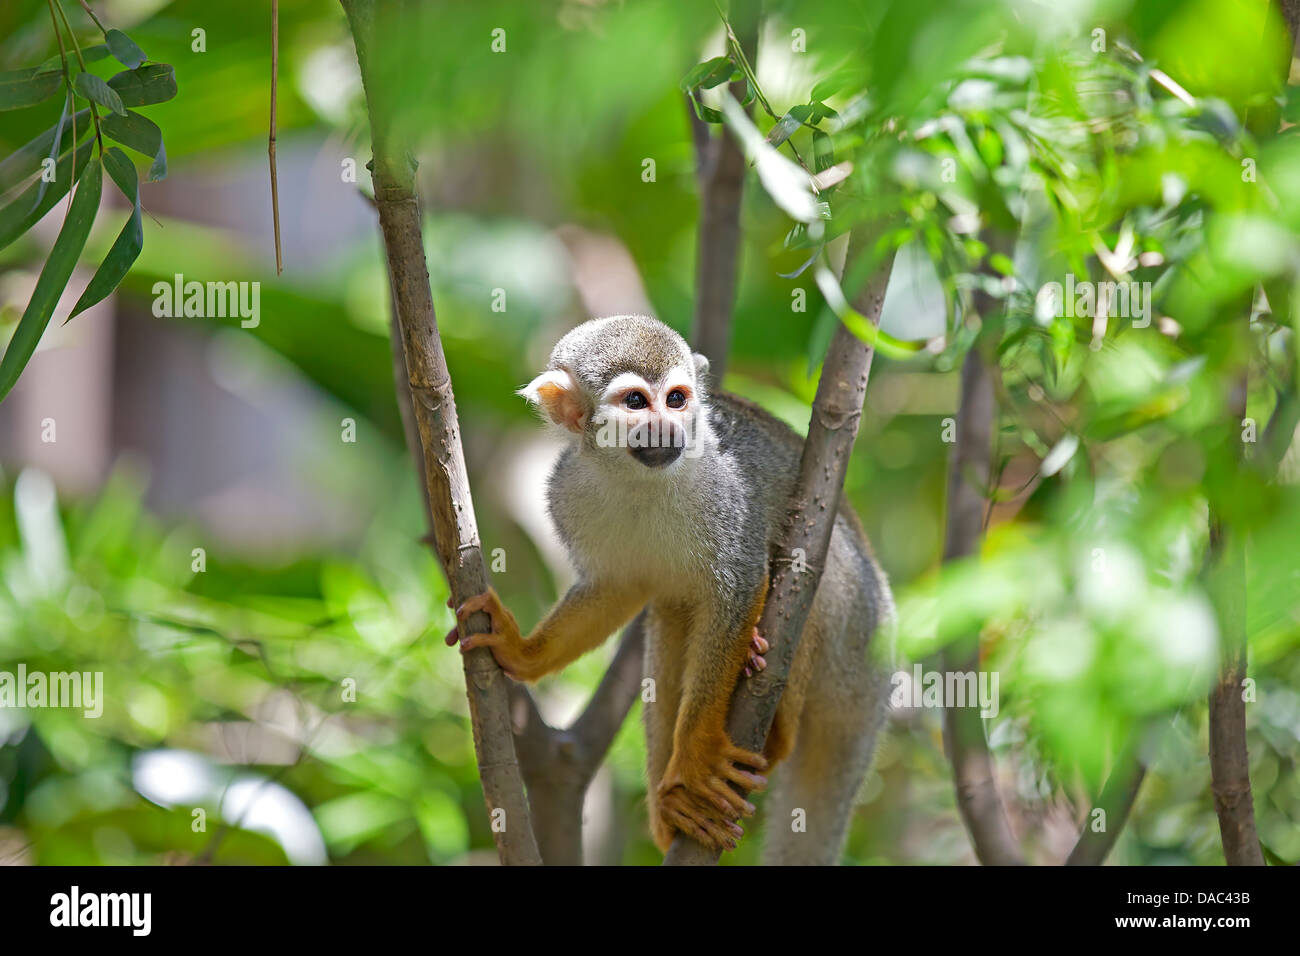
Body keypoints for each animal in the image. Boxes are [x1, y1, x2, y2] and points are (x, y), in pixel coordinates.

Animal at [450, 314, 893, 863]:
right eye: (637, 402)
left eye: (677, 399)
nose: (669, 426)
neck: (639, 479)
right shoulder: (568, 490)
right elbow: (617, 587)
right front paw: (522, 651)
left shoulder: (725, 491)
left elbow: (739, 585)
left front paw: (698, 754)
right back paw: (670, 817)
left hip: (857, 628)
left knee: (813, 575)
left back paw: (773, 732)